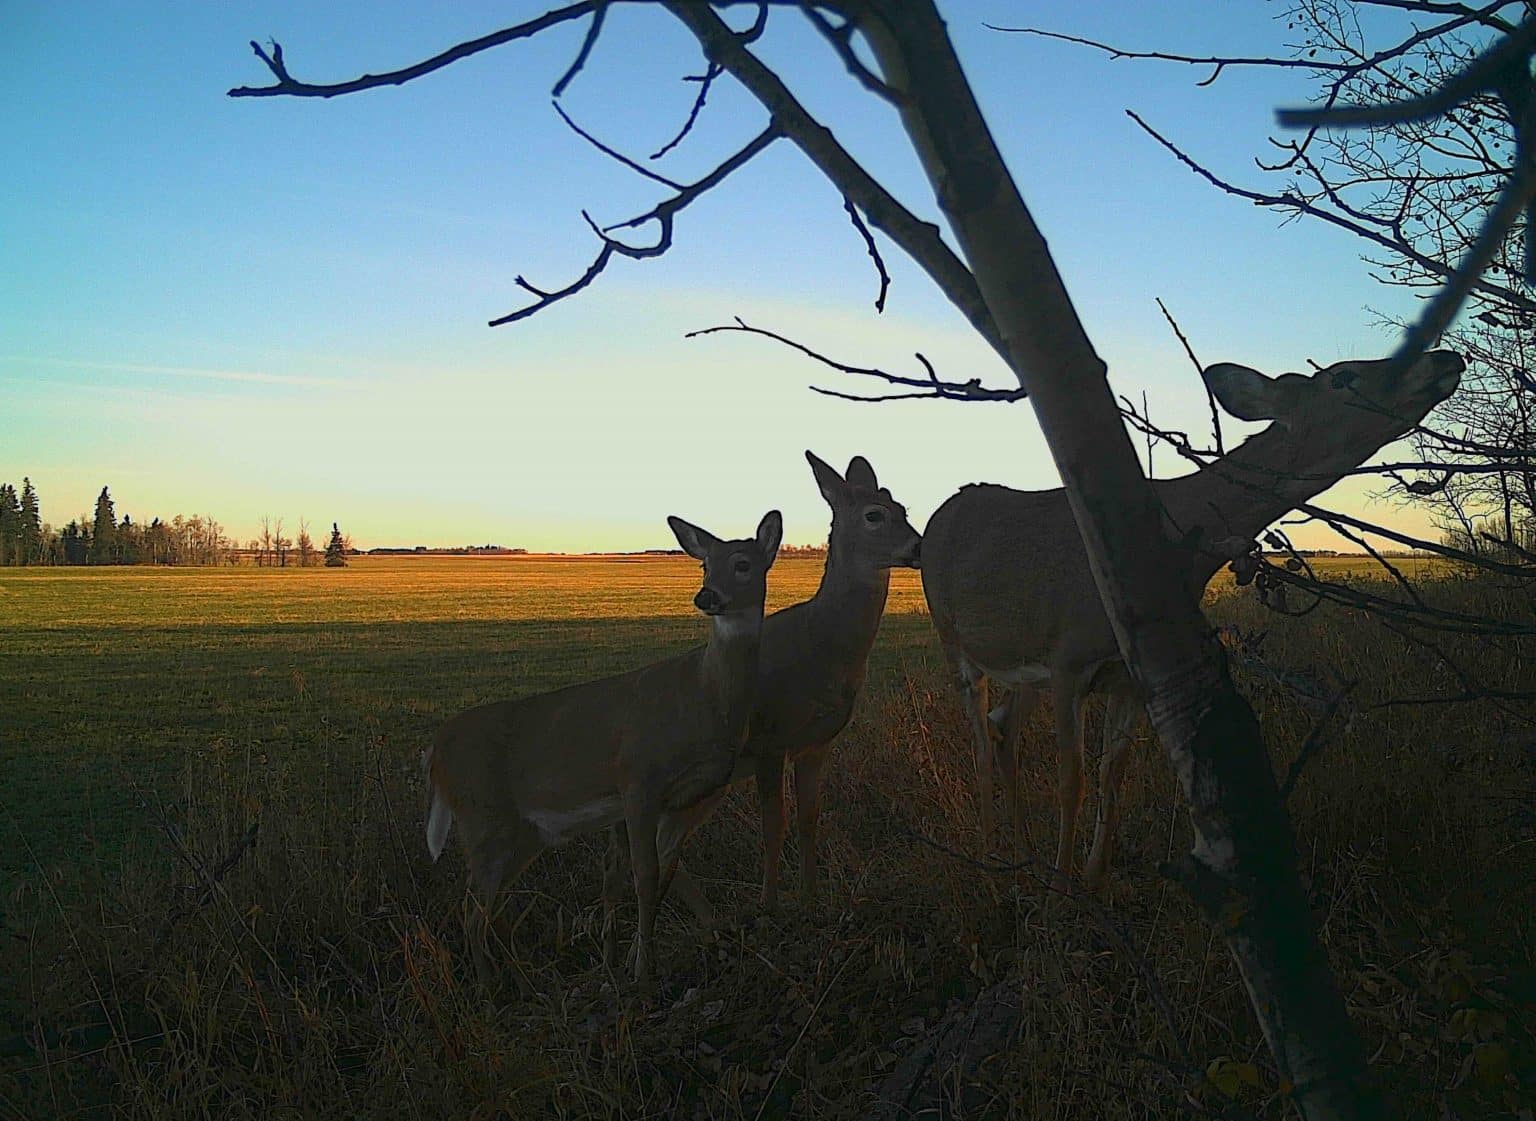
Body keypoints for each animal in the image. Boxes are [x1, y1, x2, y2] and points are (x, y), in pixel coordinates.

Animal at [424, 509, 782, 989]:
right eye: (705, 565)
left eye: (743, 563)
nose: (706, 595)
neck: (706, 700)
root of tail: (436, 752)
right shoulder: (638, 777)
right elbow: (645, 875)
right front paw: (643, 973)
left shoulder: (683, 796)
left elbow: (666, 871)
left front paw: (632, 960)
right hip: (482, 819)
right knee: (472, 909)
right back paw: (488, 988)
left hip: (522, 832)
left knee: (484, 905)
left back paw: (513, 976)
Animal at [600, 452, 921, 941]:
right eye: (874, 515)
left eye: (902, 507)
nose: (918, 547)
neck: (822, 644)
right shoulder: (772, 740)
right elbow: (774, 826)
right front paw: (771, 906)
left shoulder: (816, 743)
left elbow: (809, 821)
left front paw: (812, 903)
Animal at [919, 349, 1464, 892]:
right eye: (1342, 377)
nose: (1447, 356)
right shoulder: (1069, 659)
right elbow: (1072, 780)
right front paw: (1062, 889)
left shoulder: (1127, 676)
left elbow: (1111, 777)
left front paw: (1093, 881)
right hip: (953, 637)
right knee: (980, 739)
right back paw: (992, 855)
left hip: (1025, 667)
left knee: (1002, 728)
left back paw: (1022, 850)